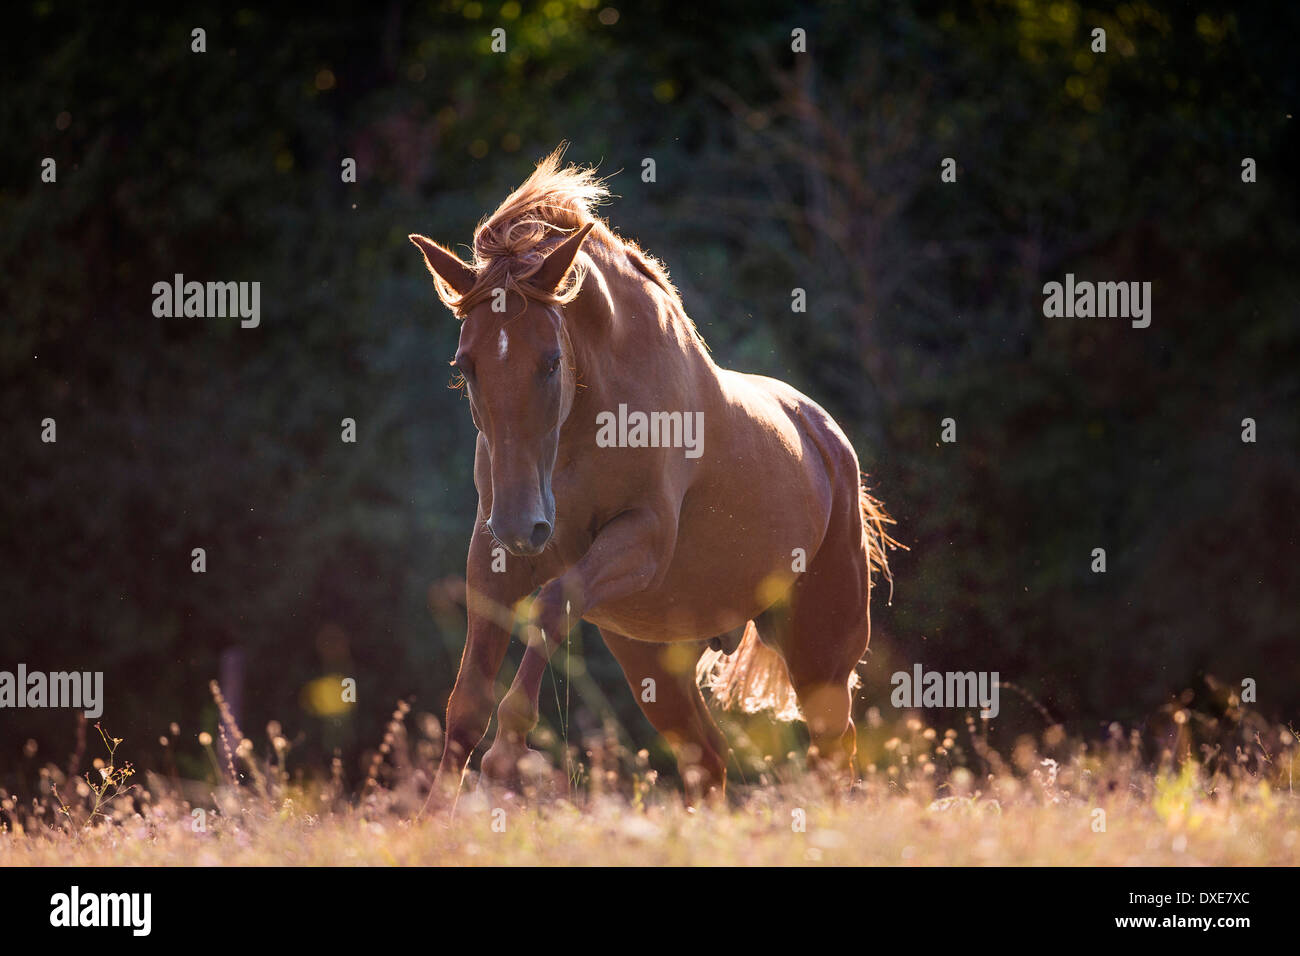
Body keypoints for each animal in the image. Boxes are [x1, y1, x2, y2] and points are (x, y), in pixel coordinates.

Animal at [410, 146, 897, 802]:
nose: (520, 525)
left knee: (832, 749)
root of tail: (829, 442)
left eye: (552, 360)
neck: (585, 425)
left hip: (820, 650)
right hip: (653, 658)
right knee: (708, 760)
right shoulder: (493, 559)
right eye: (466, 365)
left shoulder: (641, 541)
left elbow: (553, 605)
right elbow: (464, 707)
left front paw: (508, 758)